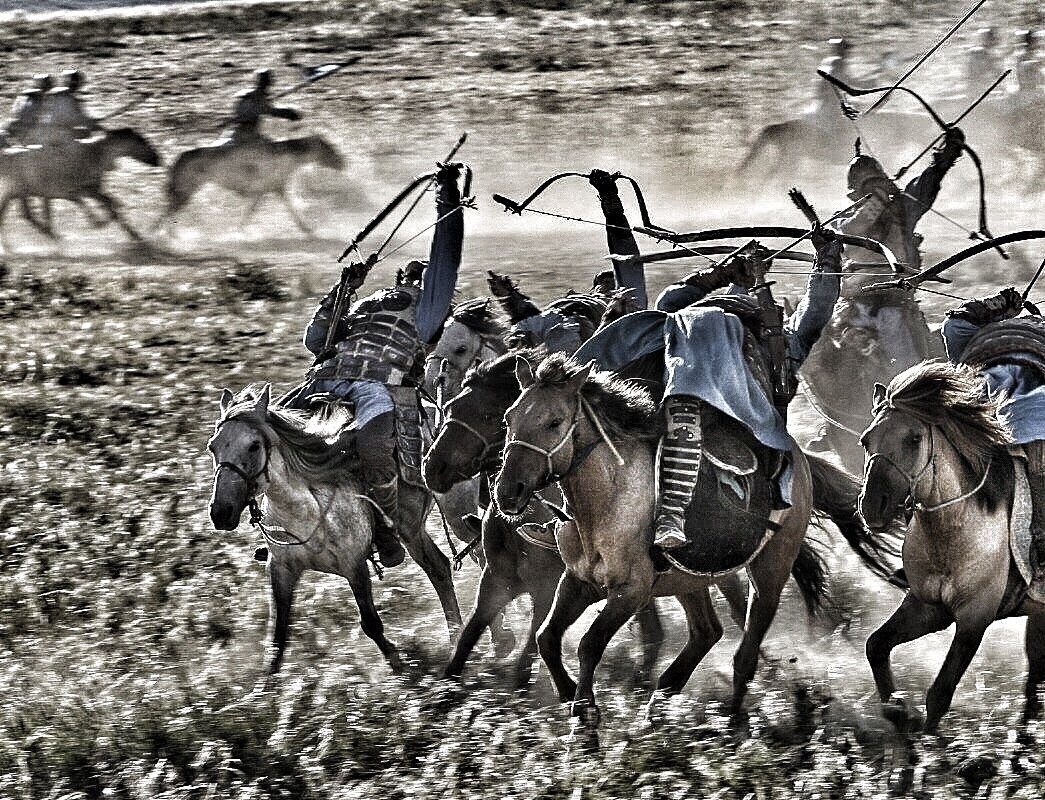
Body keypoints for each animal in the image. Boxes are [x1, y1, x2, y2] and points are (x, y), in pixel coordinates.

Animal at [163, 134, 342, 233]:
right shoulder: (268, 189)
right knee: (168, 214)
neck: (290, 155)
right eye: (328, 148)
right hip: (185, 192)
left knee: (167, 213)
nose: (342, 162)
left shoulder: (269, 190)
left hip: (183, 193)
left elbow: (249, 214)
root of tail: (179, 158)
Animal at [207, 384, 457, 672]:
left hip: (427, 523)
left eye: (254, 445)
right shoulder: (281, 568)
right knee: (439, 569)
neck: (305, 510)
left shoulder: (354, 565)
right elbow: (277, 639)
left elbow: (371, 624)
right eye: (213, 446)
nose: (221, 512)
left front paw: (400, 668)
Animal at [493, 355, 894, 731]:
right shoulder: (579, 581)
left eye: (554, 422)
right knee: (707, 632)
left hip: (770, 572)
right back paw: (659, 703)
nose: (507, 492)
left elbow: (589, 644)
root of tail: (798, 457)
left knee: (744, 653)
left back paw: (731, 724)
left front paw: (586, 714)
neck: (609, 498)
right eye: (509, 418)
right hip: (688, 578)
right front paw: (569, 696)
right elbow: (546, 638)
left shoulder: (631, 591)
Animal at [856, 361, 1045, 735]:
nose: (873, 506)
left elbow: (940, 694)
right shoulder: (927, 607)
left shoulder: (974, 619)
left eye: (914, 439)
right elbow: (876, 647)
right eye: (867, 440)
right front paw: (899, 714)